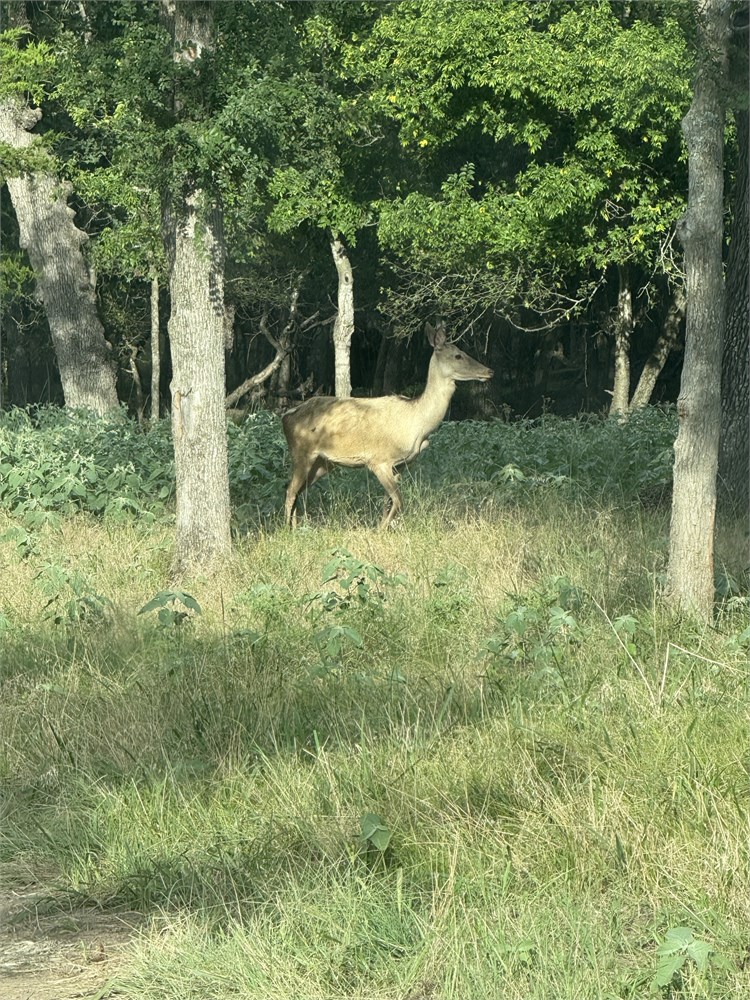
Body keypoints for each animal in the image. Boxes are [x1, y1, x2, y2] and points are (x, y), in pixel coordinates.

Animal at [282, 321, 493, 528]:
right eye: (458, 355)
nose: (489, 371)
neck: (418, 423)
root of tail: (286, 416)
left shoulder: (400, 465)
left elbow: (388, 502)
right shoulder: (378, 460)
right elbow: (398, 500)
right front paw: (380, 530)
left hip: (323, 463)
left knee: (297, 491)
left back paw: (295, 527)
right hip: (302, 453)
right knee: (290, 491)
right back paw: (288, 530)